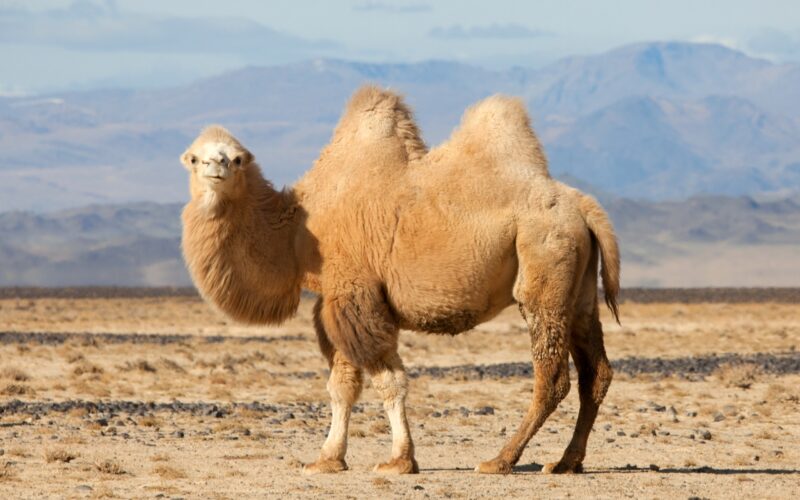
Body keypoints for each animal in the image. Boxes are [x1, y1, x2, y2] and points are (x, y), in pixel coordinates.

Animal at [180, 85, 620, 475]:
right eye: (195, 158)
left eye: (237, 159)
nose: (216, 167)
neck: (298, 230)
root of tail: (584, 206)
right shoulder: (336, 301)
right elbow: (342, 385)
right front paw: (328, 459)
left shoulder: (355, 294)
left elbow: (387, 381)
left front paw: (399, 461)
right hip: (579, 291)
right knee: (596, 373)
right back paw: (565, 462)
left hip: (544, 266)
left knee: (553, 377)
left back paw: (500, 460)